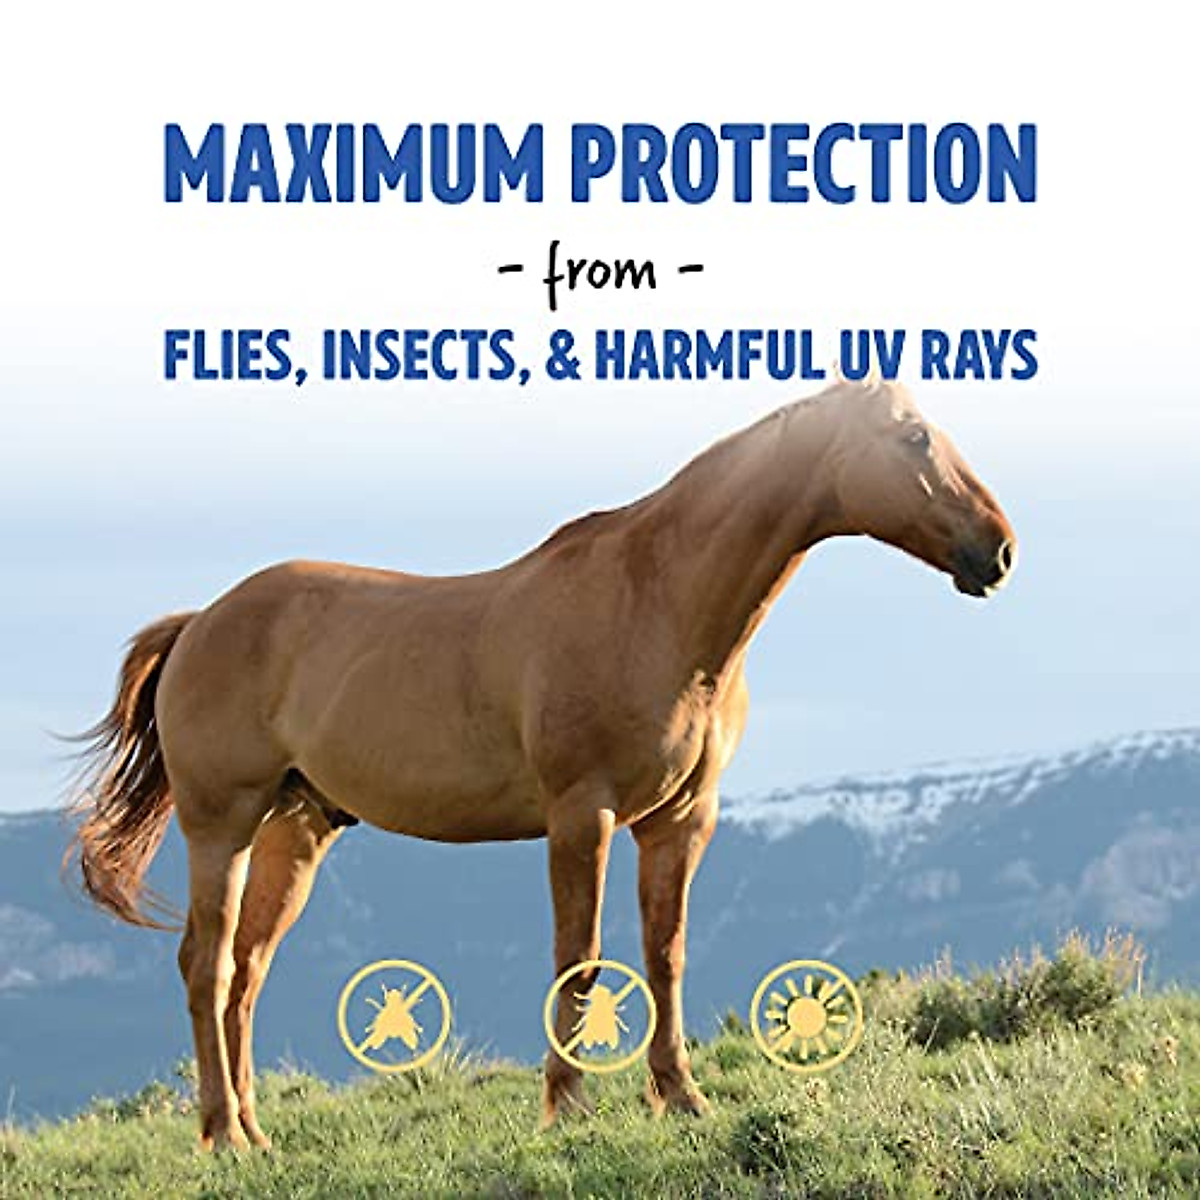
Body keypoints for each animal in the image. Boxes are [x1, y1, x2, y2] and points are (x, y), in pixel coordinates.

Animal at [66, 376, 1016, 1150]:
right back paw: (223, 1134)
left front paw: (681, 1097)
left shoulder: (680, 822)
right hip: (220, 825)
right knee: (208, 964)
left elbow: (665, 954)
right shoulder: (580, 816)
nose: (1000, 549)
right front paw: (568, 1106)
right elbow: (580, 956)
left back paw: (255, 1133)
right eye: (913, 438)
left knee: (248, 971)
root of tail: (200, 620)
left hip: (295, 832)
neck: (658, 605)